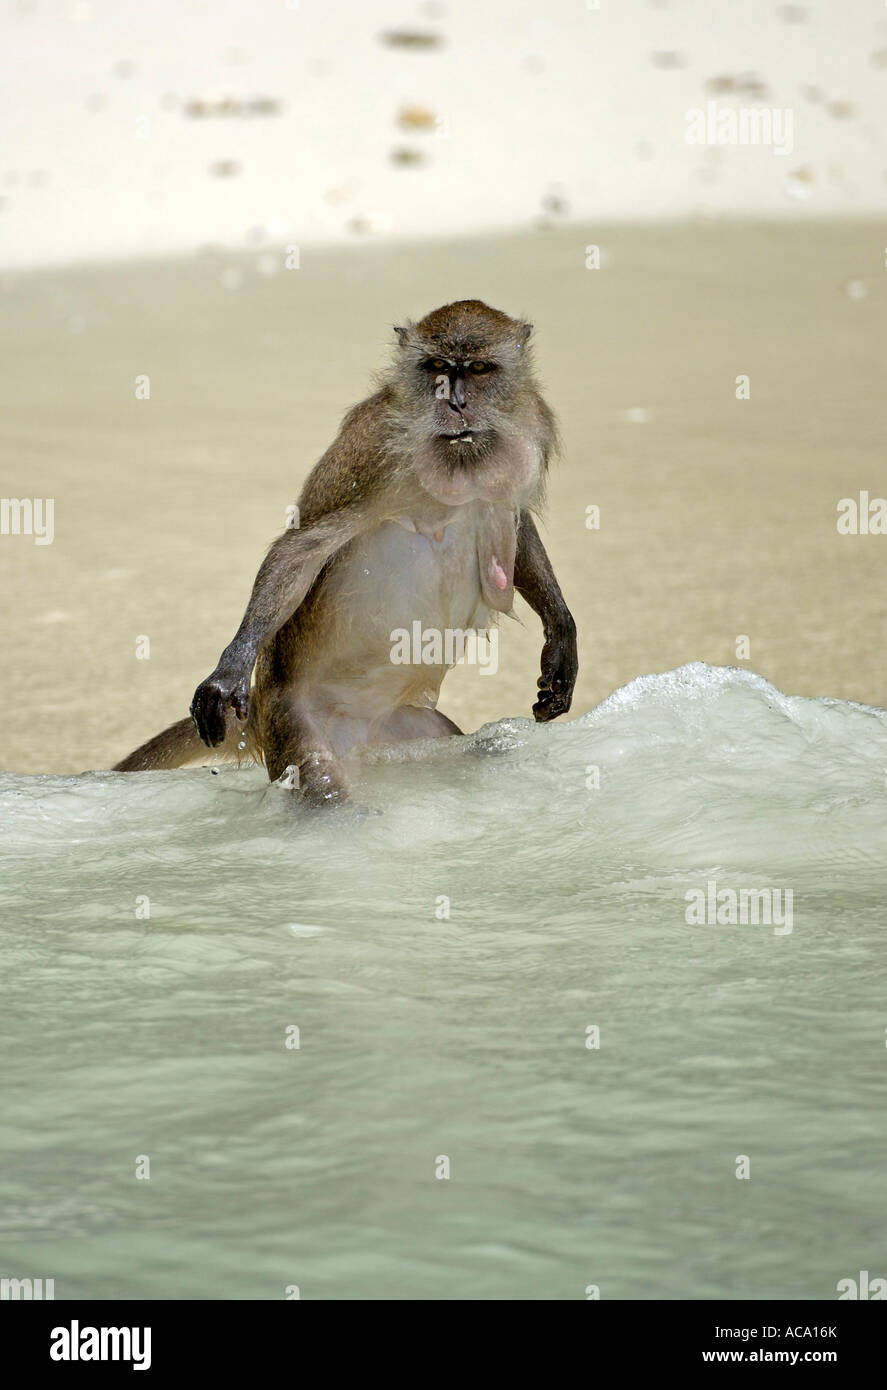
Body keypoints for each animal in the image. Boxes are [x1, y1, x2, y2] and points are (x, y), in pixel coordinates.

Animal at [114, 300, 578, 804]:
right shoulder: (372, 452)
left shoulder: (531, 420)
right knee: (322, 783)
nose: (454, 404)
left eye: (476, 369)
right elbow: (301, 551)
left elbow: (516, 522)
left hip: (406, 732)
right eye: (437, 366)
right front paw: (230, 667)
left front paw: (561, 636)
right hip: (294, 723)